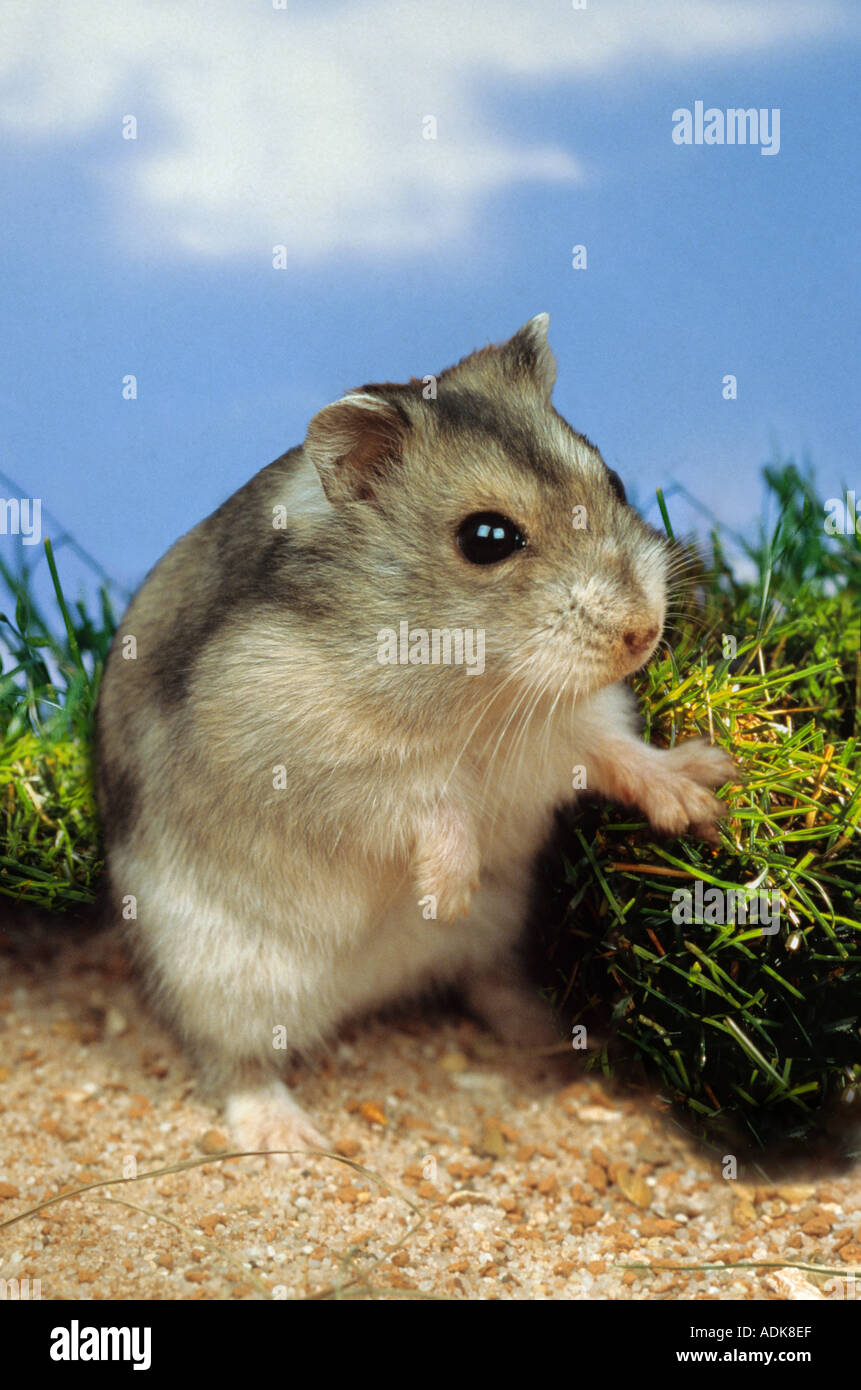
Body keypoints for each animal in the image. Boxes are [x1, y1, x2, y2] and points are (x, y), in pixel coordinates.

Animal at [95, 314, 734, 1155]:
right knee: (234, 1064)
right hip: (215, 975)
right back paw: (294, 1139)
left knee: (484, 983)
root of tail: (371, 990)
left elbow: (619, 754)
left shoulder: (575, 727)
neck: (482, 693)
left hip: (497, 934)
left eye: (615, 482)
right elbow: (425, 798)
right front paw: (446, 890)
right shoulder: (311, 757)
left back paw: (557, 1032)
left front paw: (703, 794)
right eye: (486, 537)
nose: (644, 633)